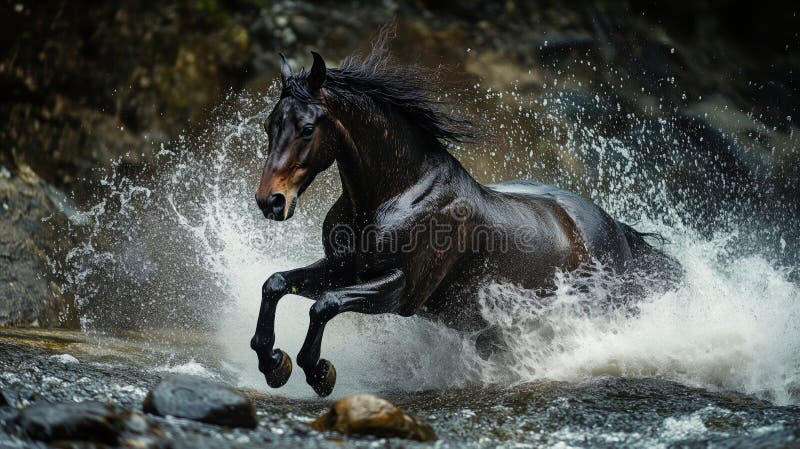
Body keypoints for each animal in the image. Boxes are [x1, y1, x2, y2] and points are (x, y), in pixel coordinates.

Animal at [250, 35, 677, 397]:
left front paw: (318, 371)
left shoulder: (400, 289)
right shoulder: (342, 268)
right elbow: (275, 283)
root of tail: (617, 230)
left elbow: (325, 304)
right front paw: (273, 363)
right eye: (270, 125)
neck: (397, 194)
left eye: (307, 128)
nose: (271, 202)